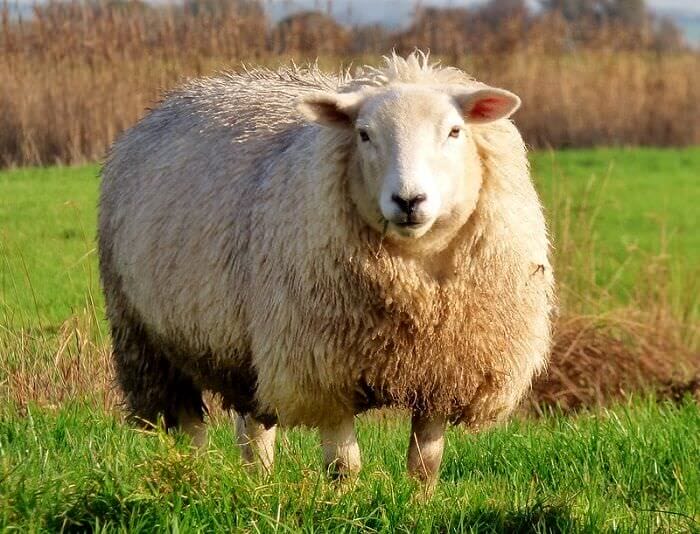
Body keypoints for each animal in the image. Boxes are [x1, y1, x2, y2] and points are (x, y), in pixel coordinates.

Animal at [98, 52, 554, 485]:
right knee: (190, 428)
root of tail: (175, 98)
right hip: (149, 341)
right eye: (364, 134)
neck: (418, 290)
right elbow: (343, 466)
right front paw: (344, 503)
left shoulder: (445, 370)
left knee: (254, 430)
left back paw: (259, 485)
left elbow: (425, 465)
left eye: (455, 131)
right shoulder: (323, 369)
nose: (409, 201)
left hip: (246, 350)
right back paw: (192, 478)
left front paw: (419, 503)